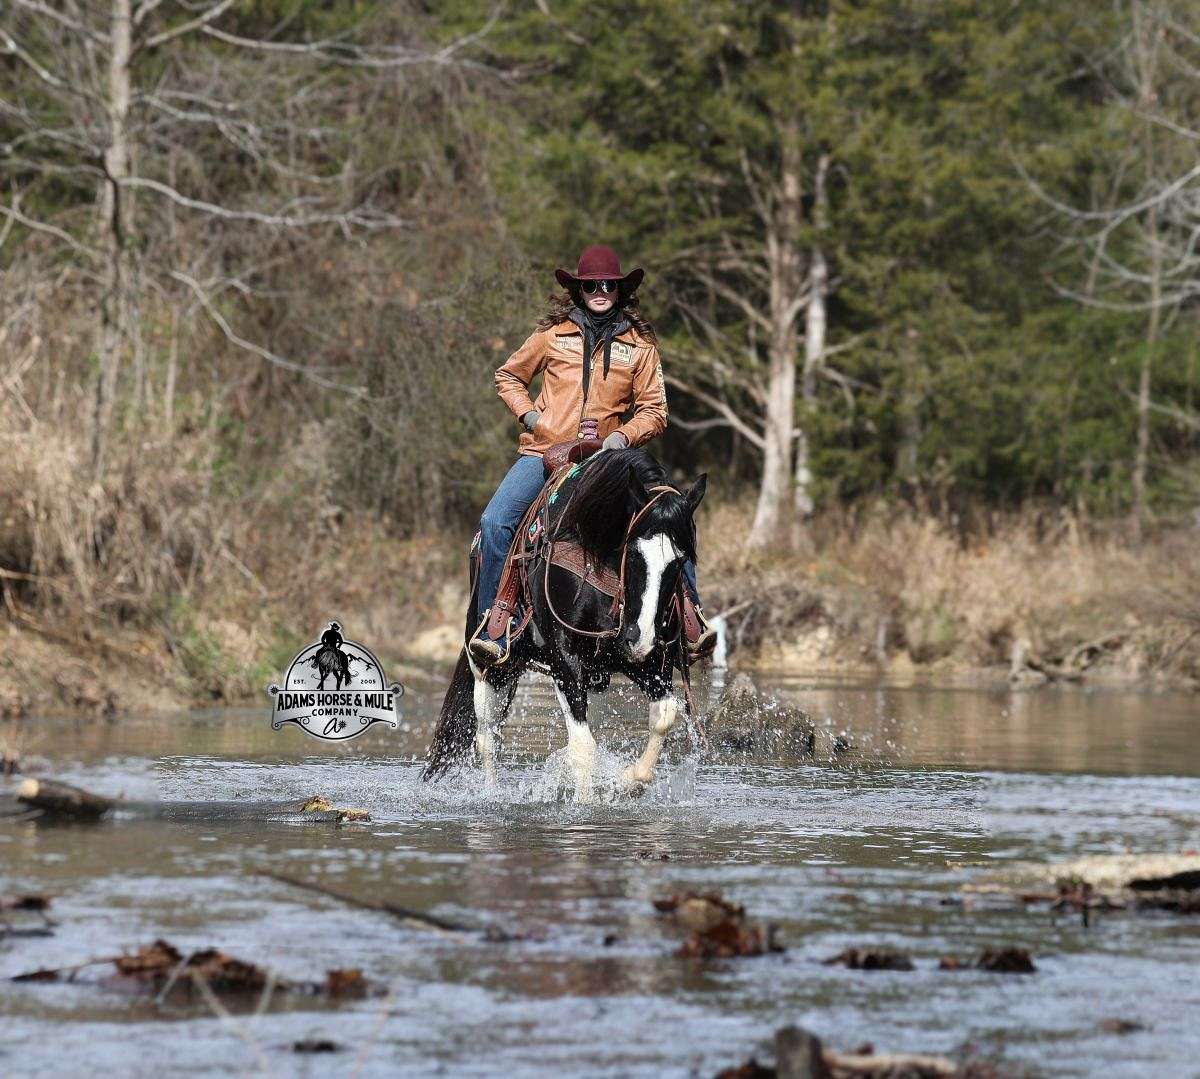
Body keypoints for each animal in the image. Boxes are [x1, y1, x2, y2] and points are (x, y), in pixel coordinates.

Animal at [421, 447, 707, 802]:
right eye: (633, 552)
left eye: (680, 561)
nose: (639, 638)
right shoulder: (565, 660)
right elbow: (582, 747)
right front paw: (584, 806)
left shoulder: (652, 663)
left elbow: (664, 716)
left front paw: (627, 781)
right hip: (491, 669)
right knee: (487, 737)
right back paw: (492, 793)